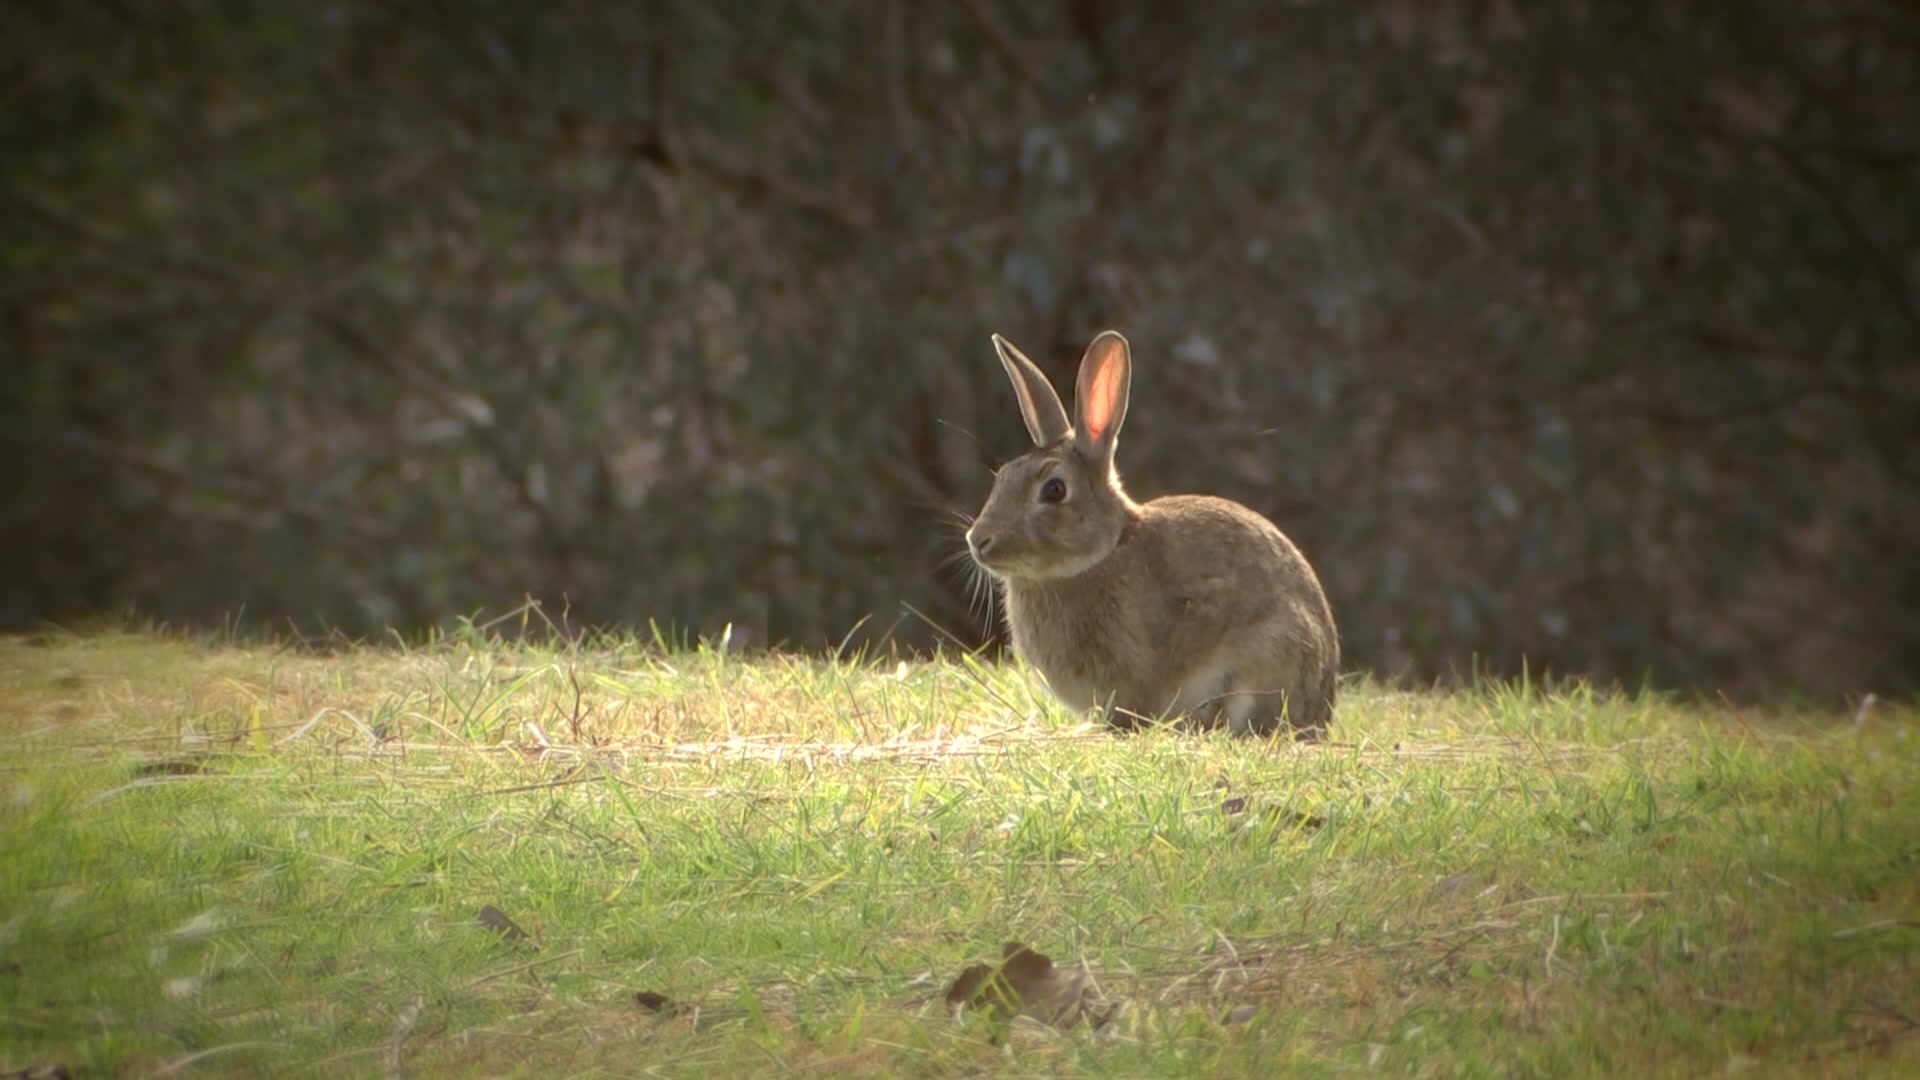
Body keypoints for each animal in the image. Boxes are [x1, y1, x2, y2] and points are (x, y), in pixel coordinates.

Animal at [965, 329, 1339, 739]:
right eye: (1003, 476)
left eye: (1054, 490)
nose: (978, 541)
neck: (1101, 554)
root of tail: (1323, 708)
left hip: (1266, 658)